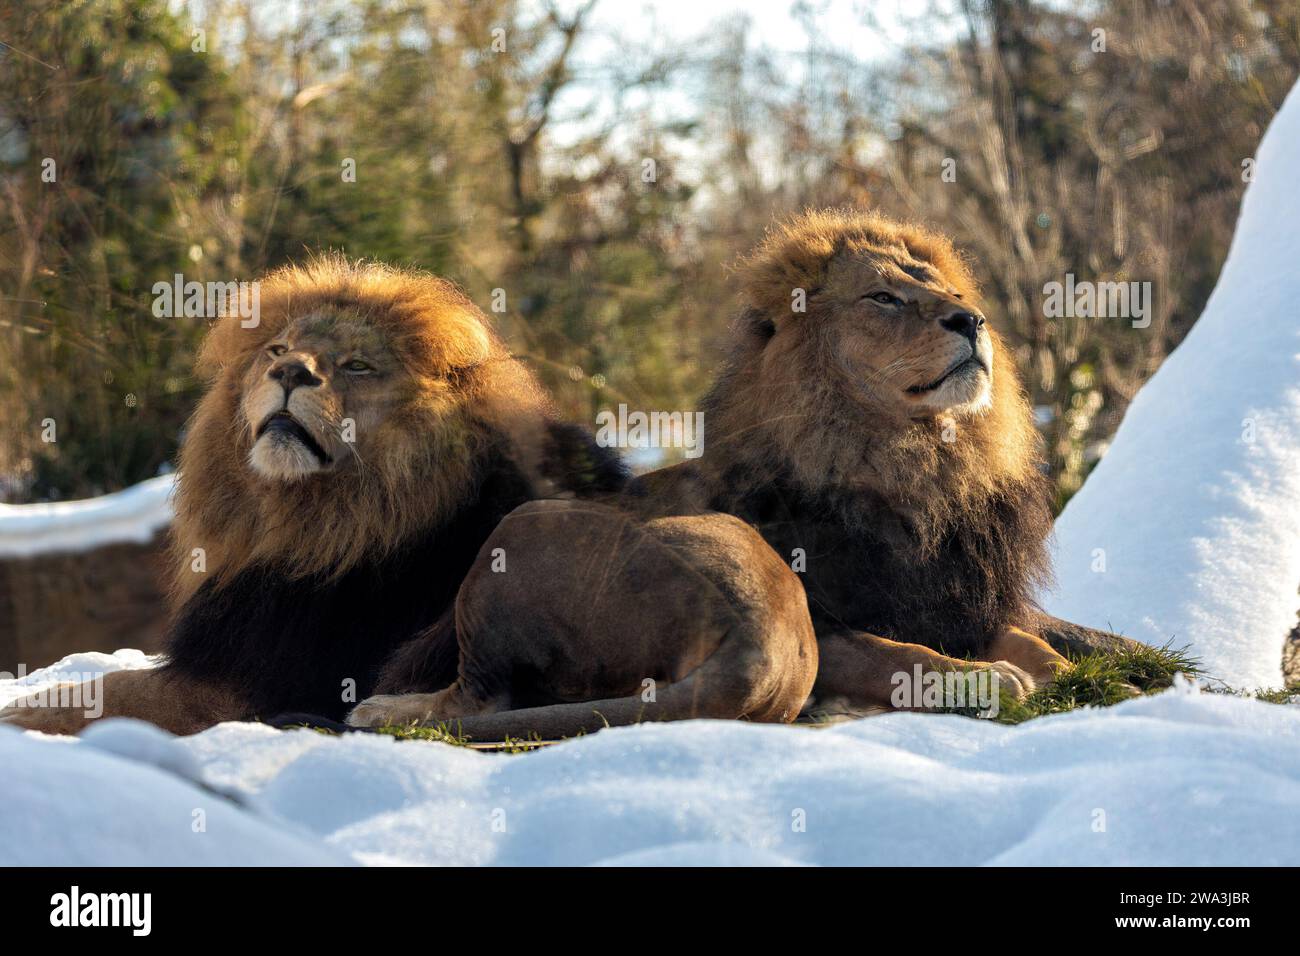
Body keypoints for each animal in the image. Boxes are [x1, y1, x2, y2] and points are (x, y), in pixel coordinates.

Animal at [0, 258, 626, 735]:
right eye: (277, 349)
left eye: (357, 365)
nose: (291, 372)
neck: (313, 519)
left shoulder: (239, 683)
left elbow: (103, 692)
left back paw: (376, 711)